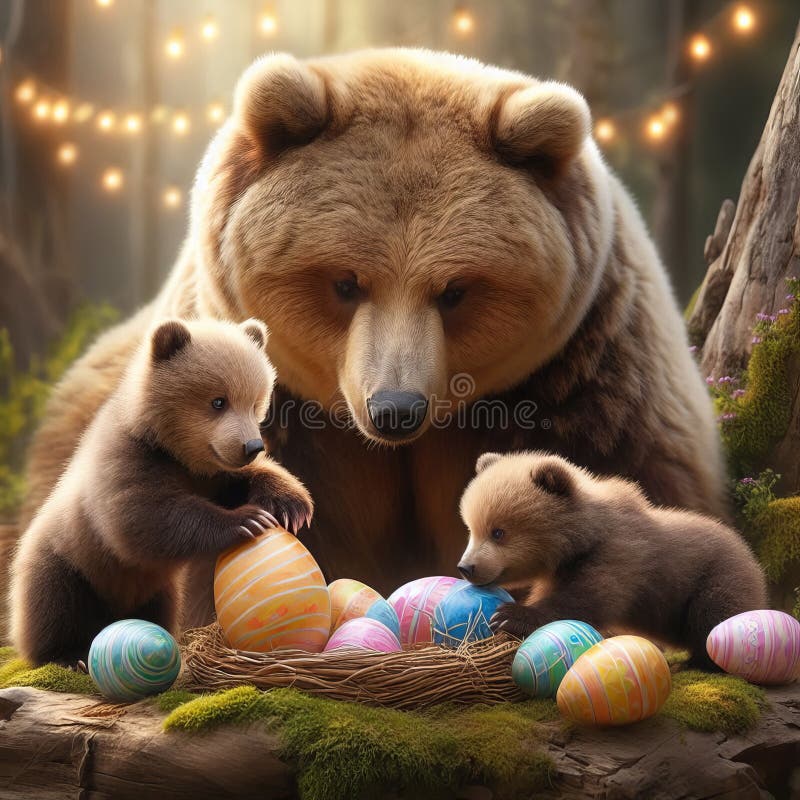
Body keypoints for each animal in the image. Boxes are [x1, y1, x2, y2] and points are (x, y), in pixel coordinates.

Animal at [9, 317, 313, 666]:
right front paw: (248, 521)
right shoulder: (128, 460)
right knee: (55, 606)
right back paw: (70, 655)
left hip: (158, 588)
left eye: (254, 403)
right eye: (218, 401)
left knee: (159, 608)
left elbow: (242, 480)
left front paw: (291, 505)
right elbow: (143, 518)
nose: (251, 446)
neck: (170, 449)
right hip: (67, 562)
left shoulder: (209, 473)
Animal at [457, 451, 767, 668]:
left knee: (715, 615)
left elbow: (589, 598)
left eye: (498, 532)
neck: (582, 538)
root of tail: (750, 555)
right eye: (471, 528)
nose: (466, 567)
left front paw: (508, 615)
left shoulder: (618, 553)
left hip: (716, 576)